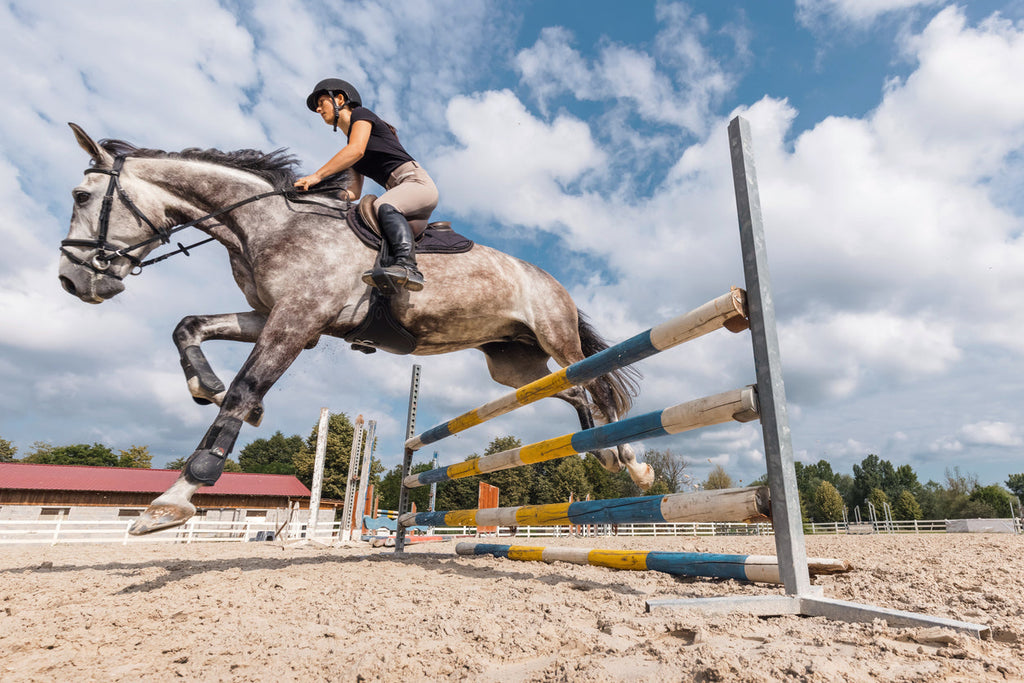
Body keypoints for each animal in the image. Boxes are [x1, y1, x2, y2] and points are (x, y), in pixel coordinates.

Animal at [58, 123, 654, 535]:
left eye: (81, 197)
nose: (71, 280)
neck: (264, 225)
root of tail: (552, 281)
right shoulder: (274, 315)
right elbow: (189, 328)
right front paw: (207, 387)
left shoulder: (296, 319)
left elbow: (248, 386)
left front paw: (174, 499)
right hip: (512, 365)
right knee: (572, 391)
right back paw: (606, 452)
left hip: (556, 336)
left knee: (594, 385)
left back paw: (631, 462)